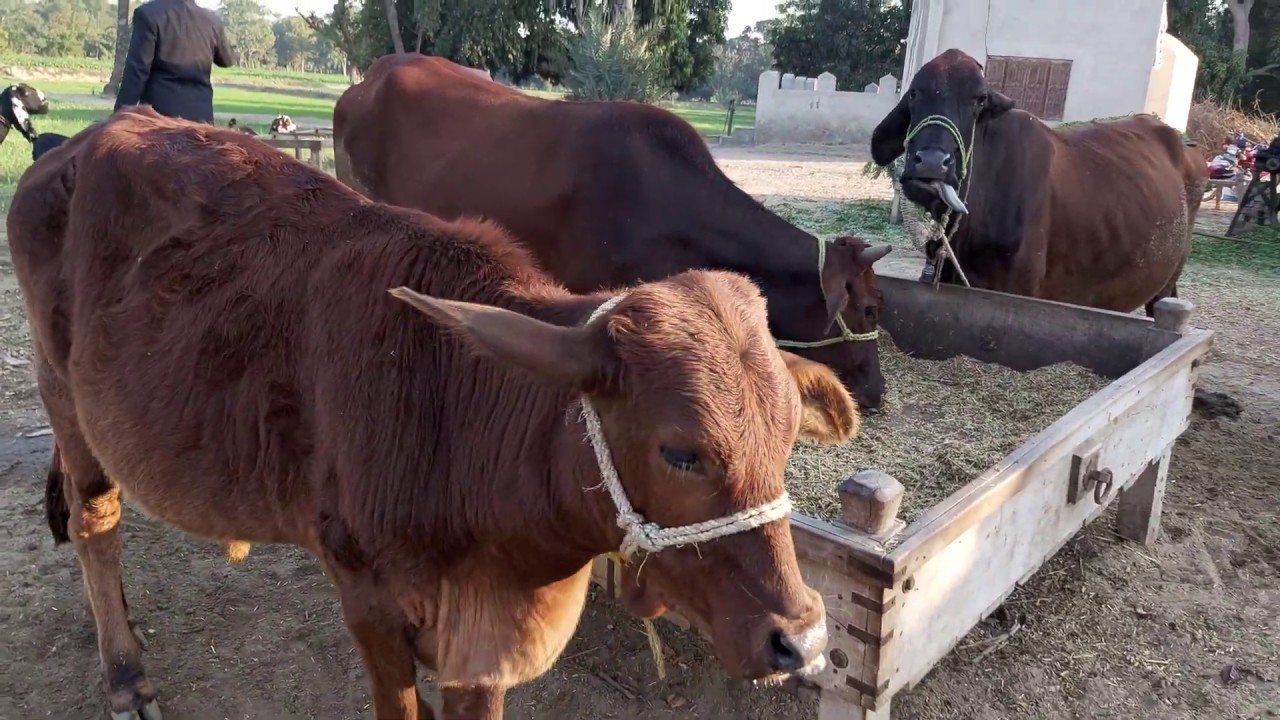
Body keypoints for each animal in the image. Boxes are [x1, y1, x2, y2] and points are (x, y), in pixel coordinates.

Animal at [10, 106, 860, 720]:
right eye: (681, 451)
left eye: (788, 441)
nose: (802, 637)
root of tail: (83, 138)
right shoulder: (369, 602)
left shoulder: (479, 650)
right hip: (68, 406)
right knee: (95, 526)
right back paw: (127, 674)